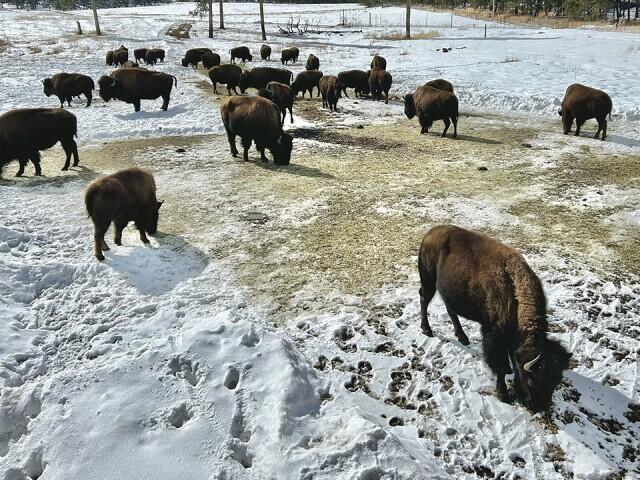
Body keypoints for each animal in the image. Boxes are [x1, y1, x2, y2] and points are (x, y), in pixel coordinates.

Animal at [418, 225, 571, 411]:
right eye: (533, 381)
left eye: (556, 382)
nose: (538, 407)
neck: (514, 292)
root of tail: (430, 233)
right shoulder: (494, 334)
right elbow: (499, 365)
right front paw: (503, 394)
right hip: (428, 280)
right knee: (424, 299)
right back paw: (427, 330)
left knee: (450, 310)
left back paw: (462, 337)